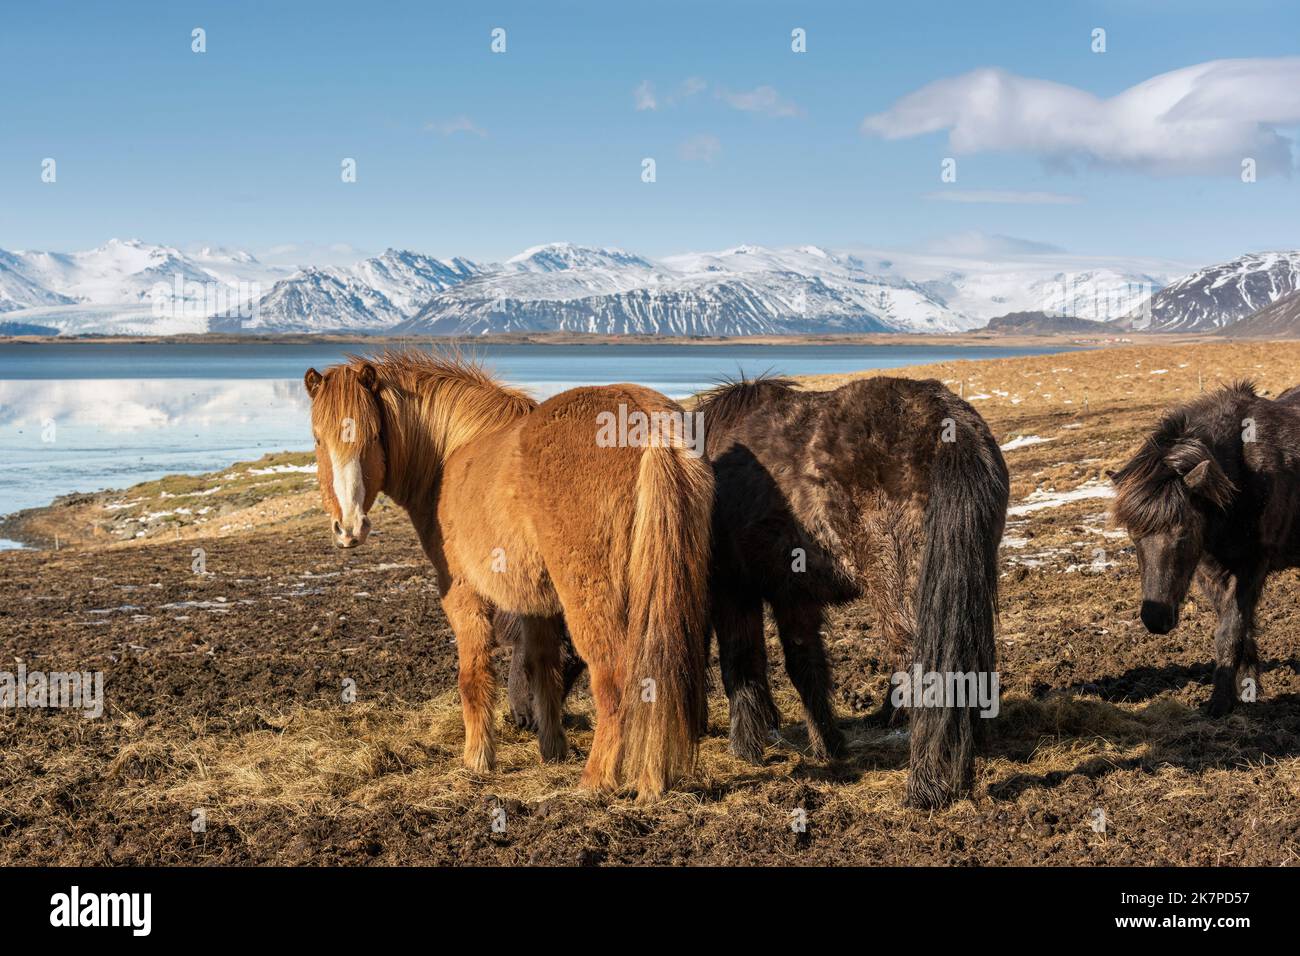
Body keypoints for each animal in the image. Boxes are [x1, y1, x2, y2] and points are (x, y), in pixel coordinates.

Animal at [302, 352, 714, 798]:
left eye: (374, 435)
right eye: (319, 439)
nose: (349, 527)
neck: (451, 454)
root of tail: (649, 425)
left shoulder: (463, 595)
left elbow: (473, 675)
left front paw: (477, 759)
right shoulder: (536, 604)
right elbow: (542, 669)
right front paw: (552, 749)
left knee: (618, 680)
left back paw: (596, 779)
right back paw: (652, 780)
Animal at [509, 374, 1010, 809]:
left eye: (530, 643)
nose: (521, 718)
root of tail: (949, 428)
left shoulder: (734, 592)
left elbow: (740, 663)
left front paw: (747, 747)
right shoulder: (793, 597)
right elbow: (806, 668)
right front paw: (827, 746)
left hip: (901, 592)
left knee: (922, 668)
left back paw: (926, 783)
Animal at [1111, 381, 1300, 716]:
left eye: (1184, 530)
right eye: (1133, 535)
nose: (1155, 619)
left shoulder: (1252, 567)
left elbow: (1230, 632)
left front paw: (1220, 703)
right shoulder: (1207, 571)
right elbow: (1240, 628)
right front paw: (1248, 689)